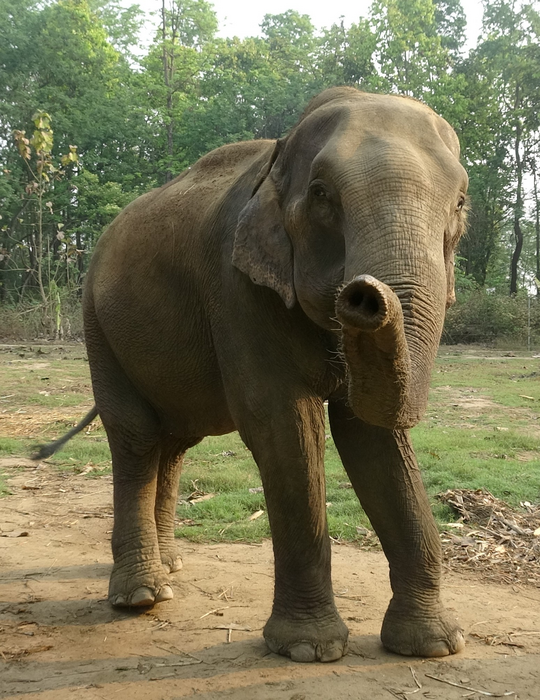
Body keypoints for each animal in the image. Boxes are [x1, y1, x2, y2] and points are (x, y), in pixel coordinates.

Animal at [41, 87, 469, 663]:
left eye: (461, 203)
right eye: (321, 194)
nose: (364, 295)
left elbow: (370, 433)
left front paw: (435, 645)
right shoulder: (236, 287)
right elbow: (284, 427)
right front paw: (308, 649)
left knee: (172, 445)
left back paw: (171, 568)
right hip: (96, 322)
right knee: (136, 436)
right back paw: (142, 596)